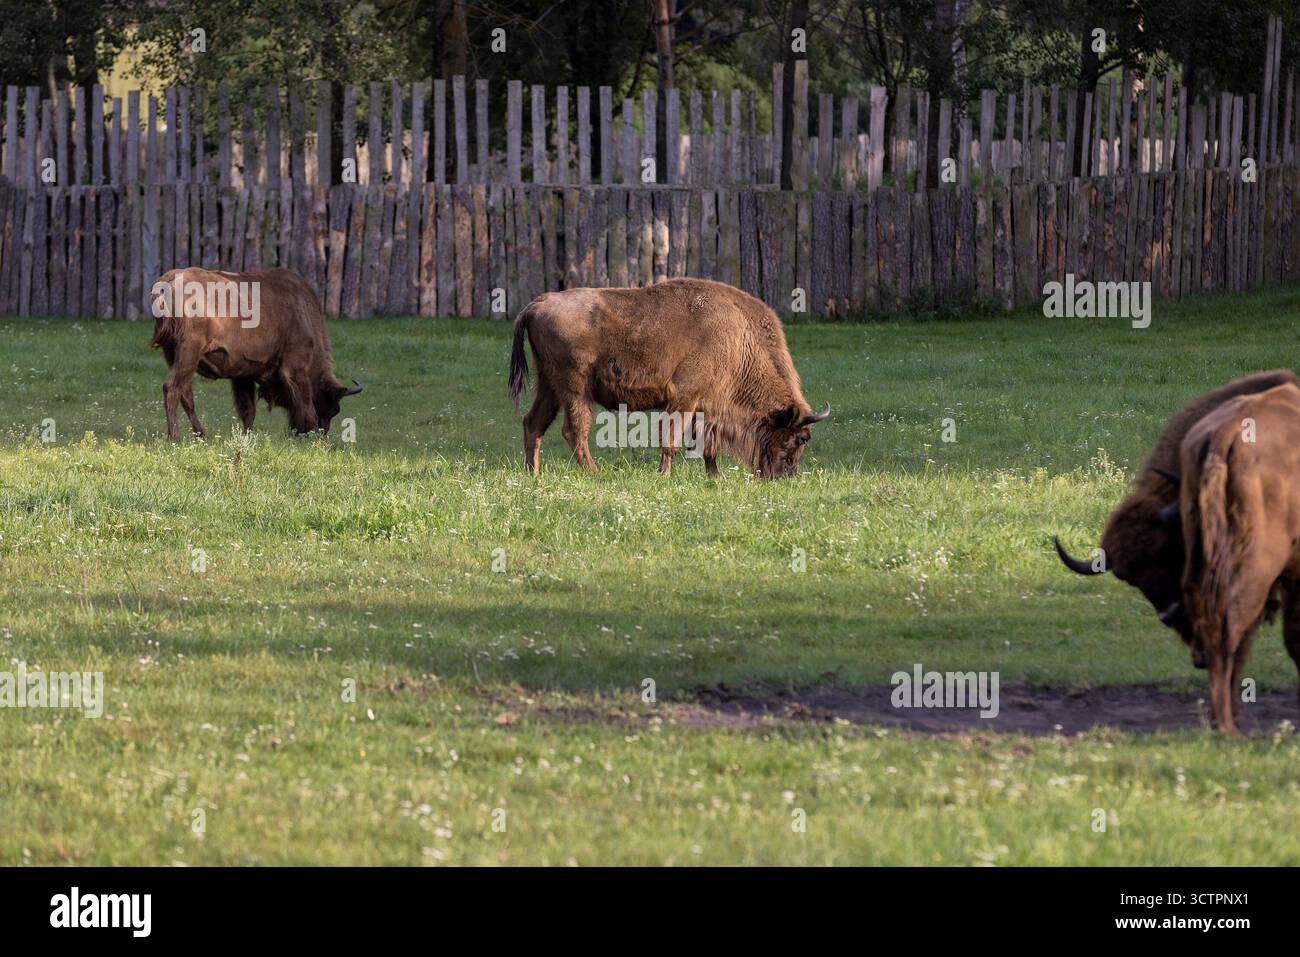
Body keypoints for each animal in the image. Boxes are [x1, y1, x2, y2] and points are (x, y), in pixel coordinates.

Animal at [150, 267, 361, 439]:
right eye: (333, 408)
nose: (324, 433)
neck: (304, 314)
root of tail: (168, 283)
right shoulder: (296, 367)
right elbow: (305, 401)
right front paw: (312, 432)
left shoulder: (243, 375)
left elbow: (248, 410)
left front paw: (247, 436)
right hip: (189, 352)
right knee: (172, 388)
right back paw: (175, 436)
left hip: (174, 355)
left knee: (186, 394)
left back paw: (201, 434)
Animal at [508, 278, 829, 478]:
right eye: (799, 438)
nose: (785, 476)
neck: (740, 339)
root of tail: (536, 304)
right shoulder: (683, 397)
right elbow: (671, 440)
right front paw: (664, 475)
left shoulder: (706, 407)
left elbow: (707, 445)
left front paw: (714, 477)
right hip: (575, 388)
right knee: (574, 430)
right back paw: (595, 473)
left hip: (549, 385)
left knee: (533, 423)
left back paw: (532, 473)